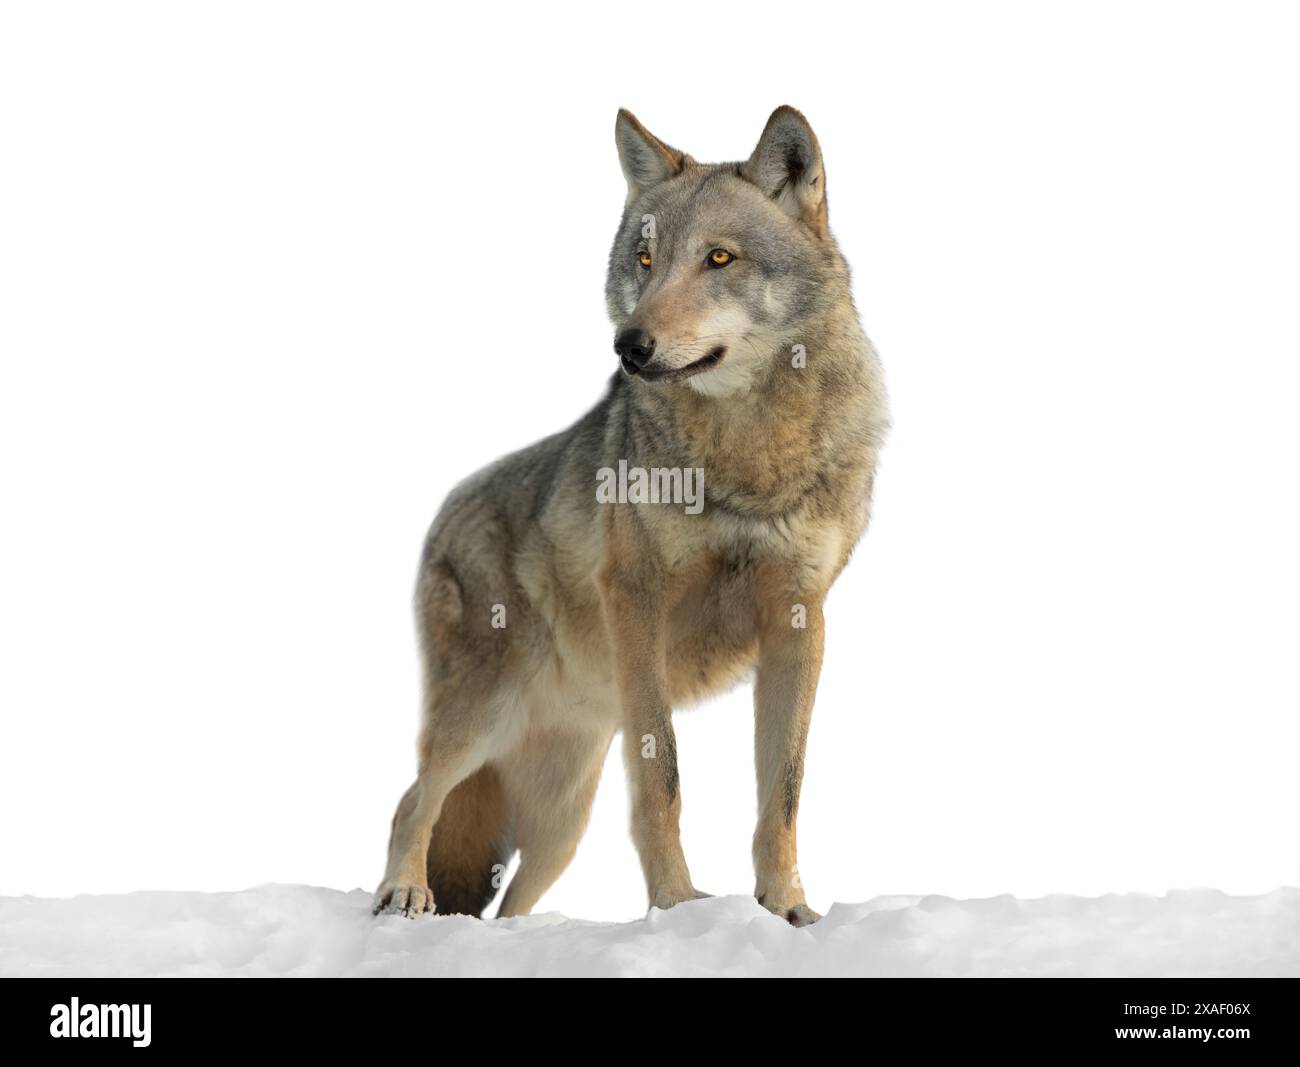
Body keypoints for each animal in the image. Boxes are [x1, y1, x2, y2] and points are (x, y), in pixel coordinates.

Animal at [373, 106, 888, 926]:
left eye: (718, 258)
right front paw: (676, 903)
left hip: (562, 819)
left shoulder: (799, 619)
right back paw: (404, 891)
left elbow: (784, 790)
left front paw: (786, 909)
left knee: (507, 900)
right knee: (411, 800)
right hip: (483, 721)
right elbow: (662, 777)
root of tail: (444, 511)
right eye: (645, 260)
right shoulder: (638, 600)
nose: (630, 344)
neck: (748, 456)